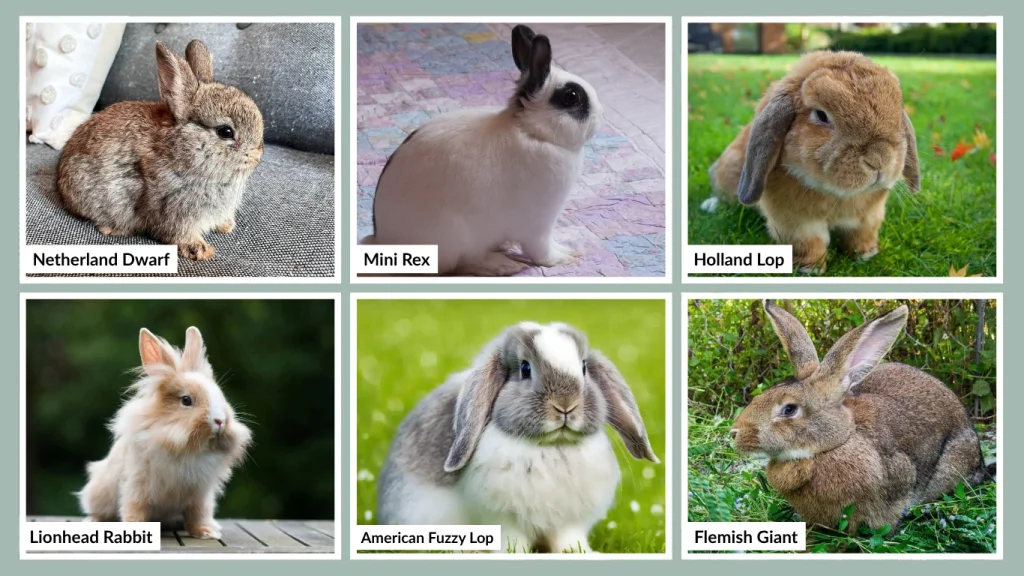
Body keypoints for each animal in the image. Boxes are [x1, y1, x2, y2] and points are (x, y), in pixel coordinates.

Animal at [57, 40, 265, 261]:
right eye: (225, 132)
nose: (257, 156)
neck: (182, 151)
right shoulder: (173, 210)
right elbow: (179, 234)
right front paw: (202, 250)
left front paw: (226, 226)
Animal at [76, 327, 252, 539]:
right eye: (186, 400)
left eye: (220, 395)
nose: (219, 421)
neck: (185, 447)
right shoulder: (137, 485)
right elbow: (135, 508)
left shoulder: (200, 493)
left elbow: (199, 513)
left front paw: (206, 532)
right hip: (100, 492)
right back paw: (92, 521)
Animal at [361, 25, 604, 276]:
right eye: (571, 97)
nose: (601, 115)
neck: (532, 131)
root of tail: (383, 242)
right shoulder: (538, 223)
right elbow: (541, 250)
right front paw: (564, 257)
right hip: (455, 236)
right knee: (463, 262)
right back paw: (503, 264)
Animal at [376, 322, 658, 553]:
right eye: (525, 368)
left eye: (584, 367)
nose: (566, 406)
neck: (553, 447)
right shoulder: (503, 518)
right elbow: (512, 541)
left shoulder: (569, 522)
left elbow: (567, 540)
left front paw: (581, 553)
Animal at [703, 51, 921, 274]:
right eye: (821, 115)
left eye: (897, 111)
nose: (878, 160)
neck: (838, 195)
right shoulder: (796, 223)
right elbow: (809, 243)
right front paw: (811, 269)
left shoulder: (867, 218)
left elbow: (861, 236)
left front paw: (866, 255)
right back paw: (710, 205)